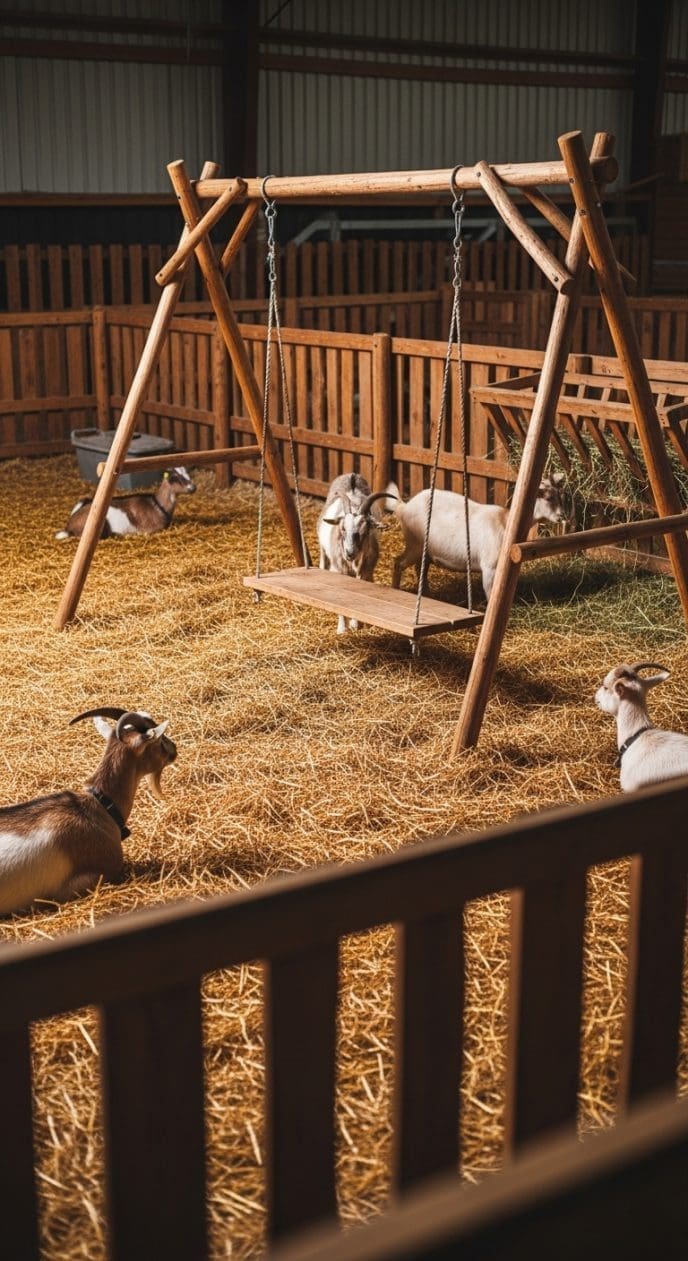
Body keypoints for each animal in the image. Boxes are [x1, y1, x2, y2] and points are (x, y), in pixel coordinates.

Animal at [55, 466, 196, 540]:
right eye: (175, 478)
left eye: (187, 474)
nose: (193, 487)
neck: (157, 504)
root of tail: (69, 527)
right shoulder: (149, 530)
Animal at [317, 472, 392, 633]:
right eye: (343, 529)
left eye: (365, 531)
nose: (349, 552)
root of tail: (351, 475)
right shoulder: (339, 571)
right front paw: (341, 629)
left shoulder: (364, 571)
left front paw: (355, 624)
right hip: (323, 549)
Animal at [386, 474, 567, 601]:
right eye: (548, 498)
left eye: (560, 495)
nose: (562, 516)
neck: (506, 522)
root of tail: (404, 507)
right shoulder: (489, 567)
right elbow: (490, 594)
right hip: (414, 544)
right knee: (398, 562)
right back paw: (396, 590)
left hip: (424, 550)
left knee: (420, 568)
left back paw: (427, 594)